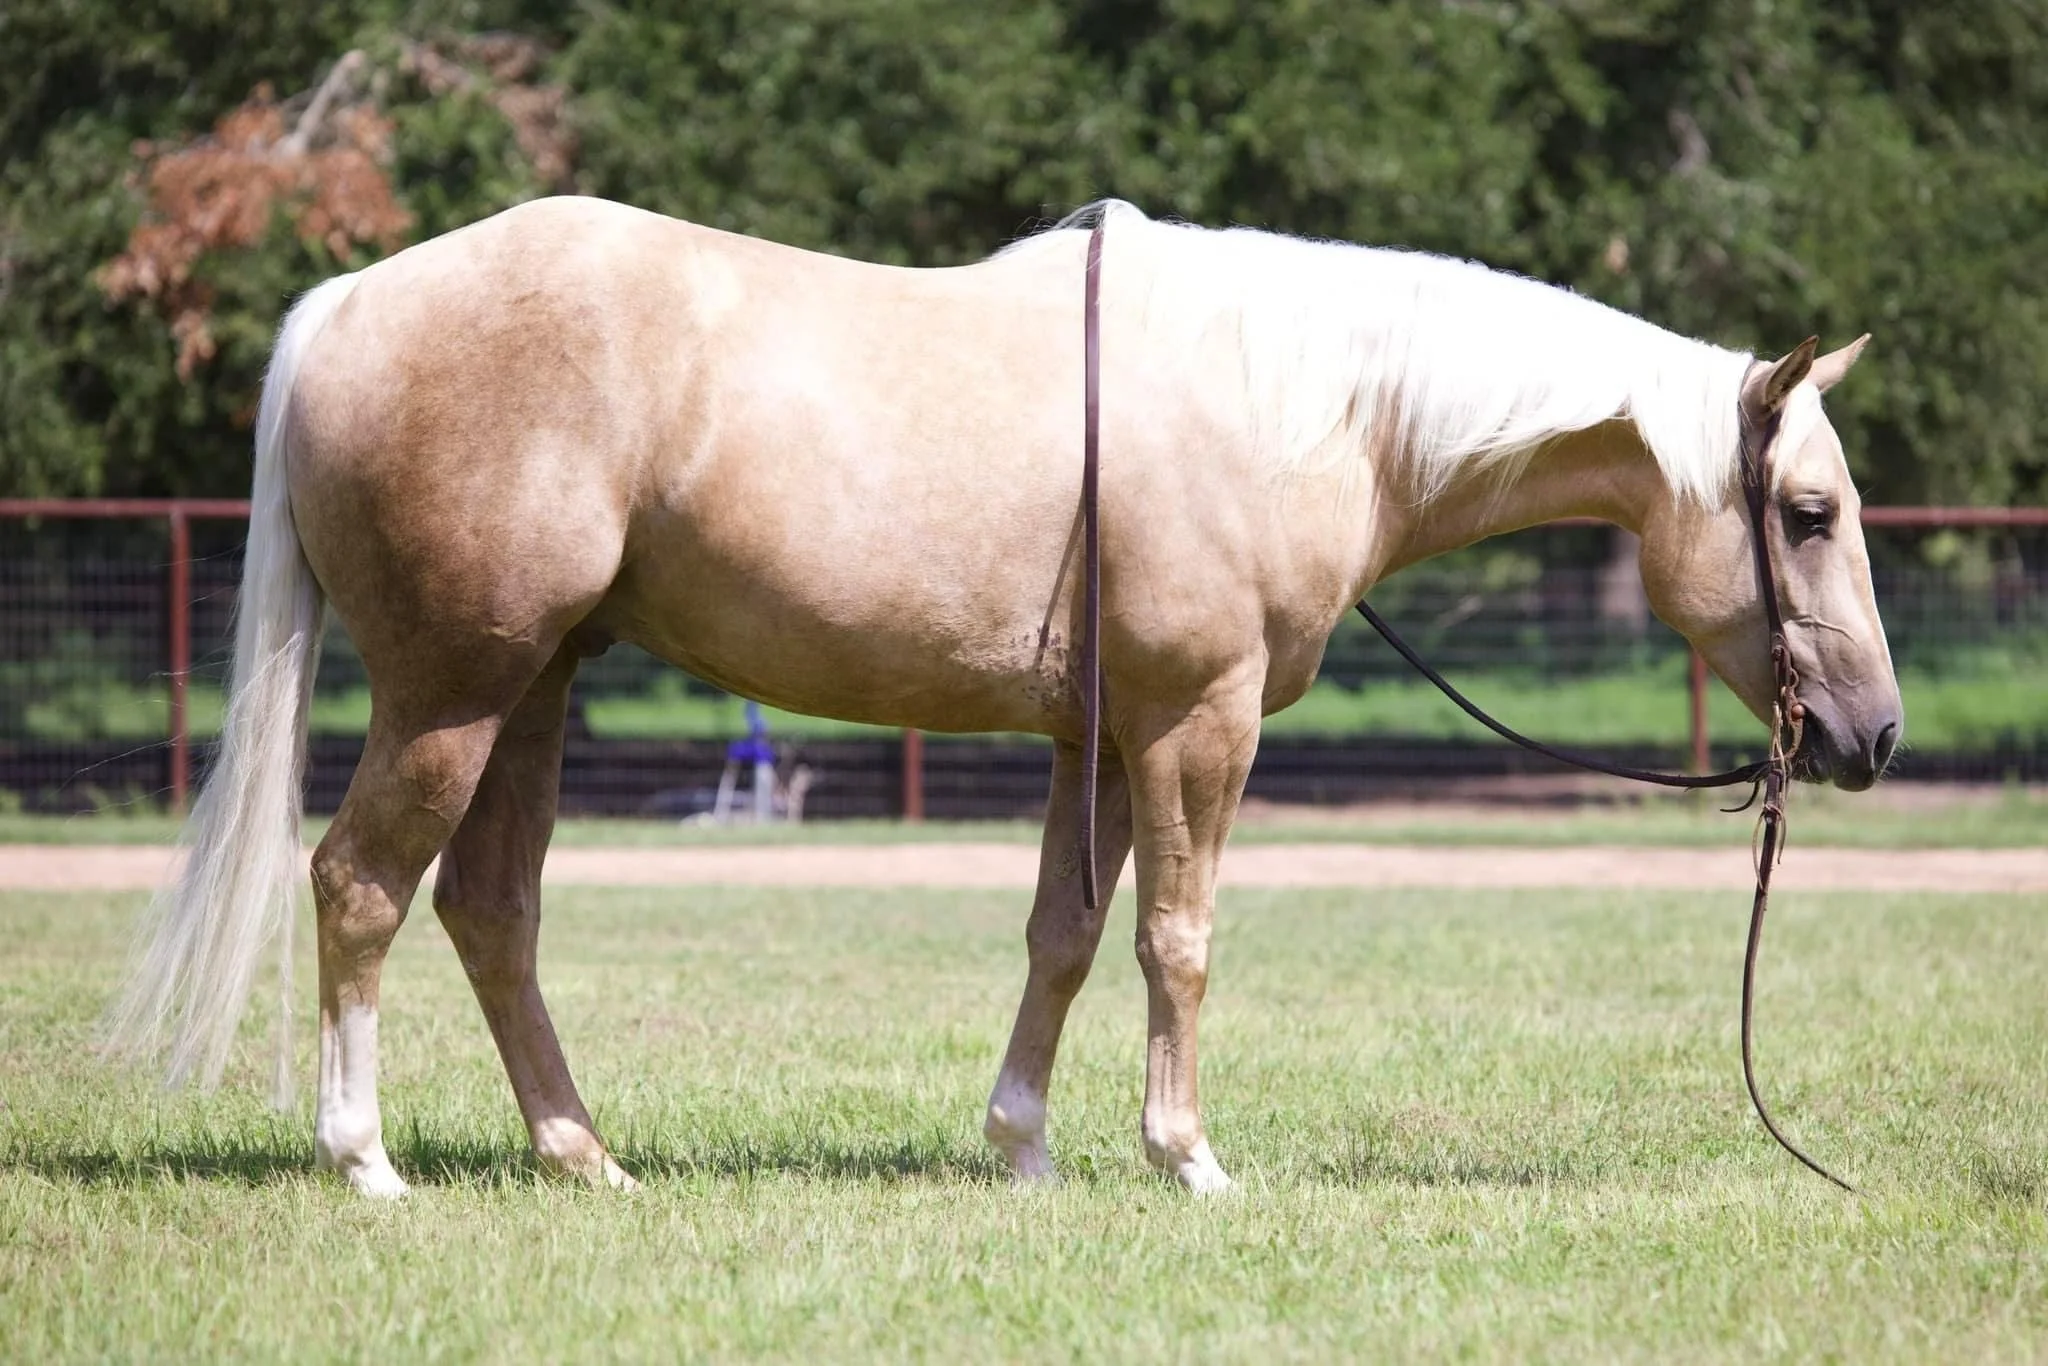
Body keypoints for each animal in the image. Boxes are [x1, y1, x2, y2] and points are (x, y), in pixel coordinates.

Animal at [105, 196, 1902, 1197]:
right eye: (1808, 513)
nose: (1874, 737)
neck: (1297, 400)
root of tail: (348, 304)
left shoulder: (1093, 740)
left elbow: (1064, 933)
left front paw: (1024, 1144)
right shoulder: (1197, 723)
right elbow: (1176, 938)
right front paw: (1185, 1156)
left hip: (534, 687)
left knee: (489, 908)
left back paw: (581, 1154)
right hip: (453, 689)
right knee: (358, 886)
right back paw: (365, 1159)